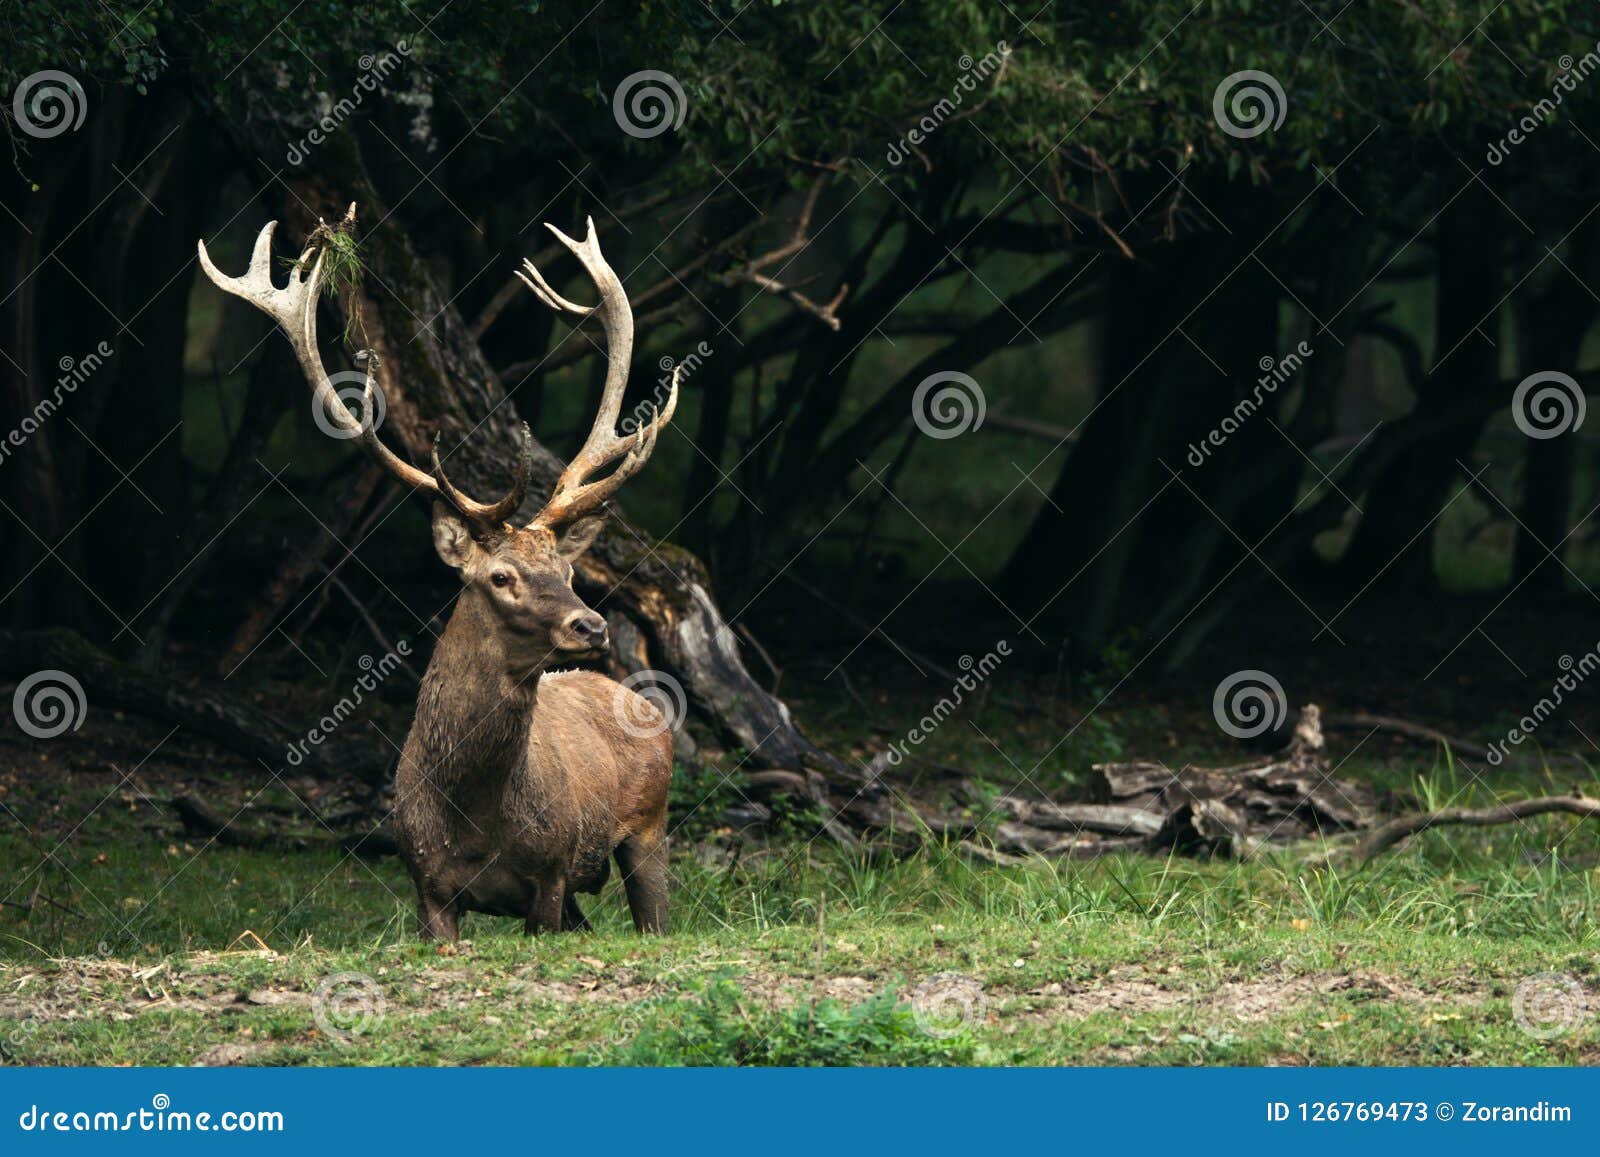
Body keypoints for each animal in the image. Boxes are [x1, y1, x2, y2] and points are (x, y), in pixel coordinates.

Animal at [196, 208, 678, 939]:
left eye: (567, 571)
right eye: (501, 577)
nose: (590, 624)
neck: (476, 820)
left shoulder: (550, 876)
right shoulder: (427, 887)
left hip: (648, 828)